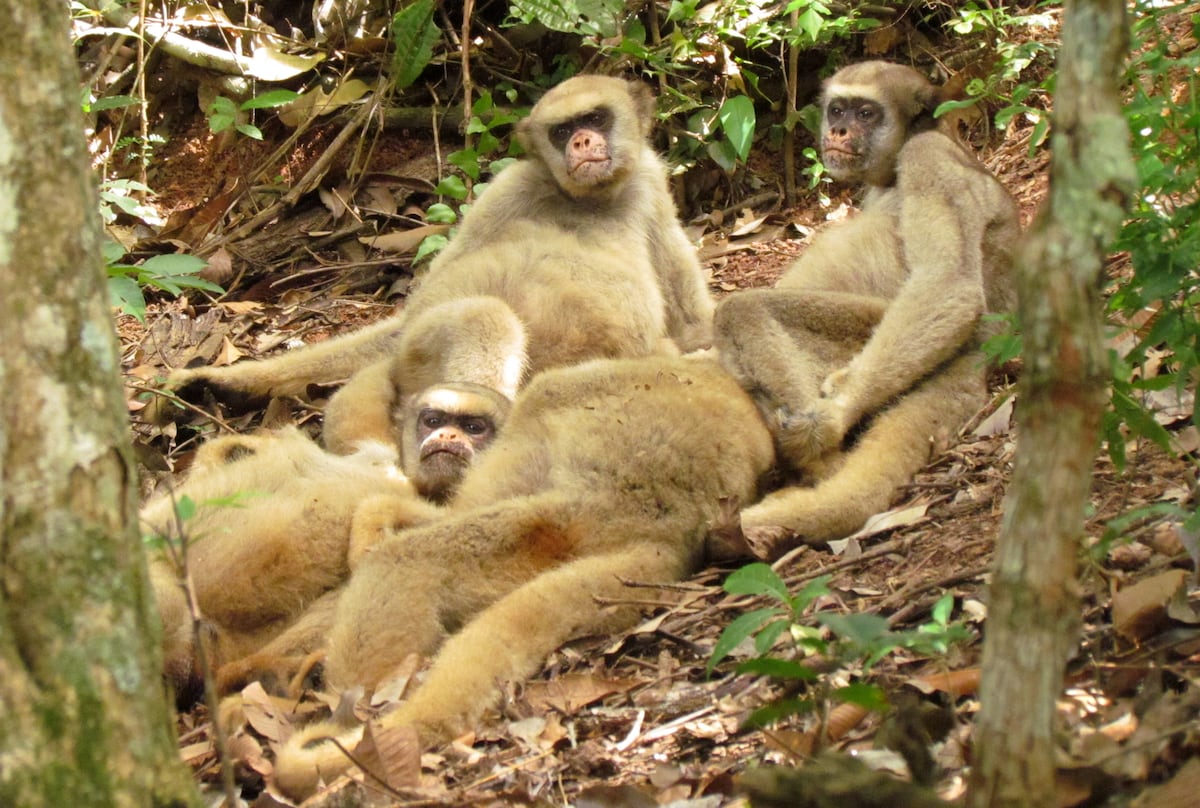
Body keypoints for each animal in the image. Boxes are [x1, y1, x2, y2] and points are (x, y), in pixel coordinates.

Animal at [155, 75, 714, 455]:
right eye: (562, 131)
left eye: (595, 120)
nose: (581, 142)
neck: (588, 200)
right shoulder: (510, 188)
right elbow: (412, 315)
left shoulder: (649, 181)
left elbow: (692, 324)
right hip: (419, 361)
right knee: (483, 318)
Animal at [261, 355, 775, 801]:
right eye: (432, 420)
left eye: (473, 428)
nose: (447, 433)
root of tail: (676, 526)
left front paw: (374, 522)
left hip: (590, 504)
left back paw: (354, 711)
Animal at [713, 61, 1019, 558]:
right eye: (838, 109)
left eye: (866, 113)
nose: (838, 129)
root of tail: (984, 351)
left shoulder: (928, 157)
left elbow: (949, 284)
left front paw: (836, 414)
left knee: (739, 310)